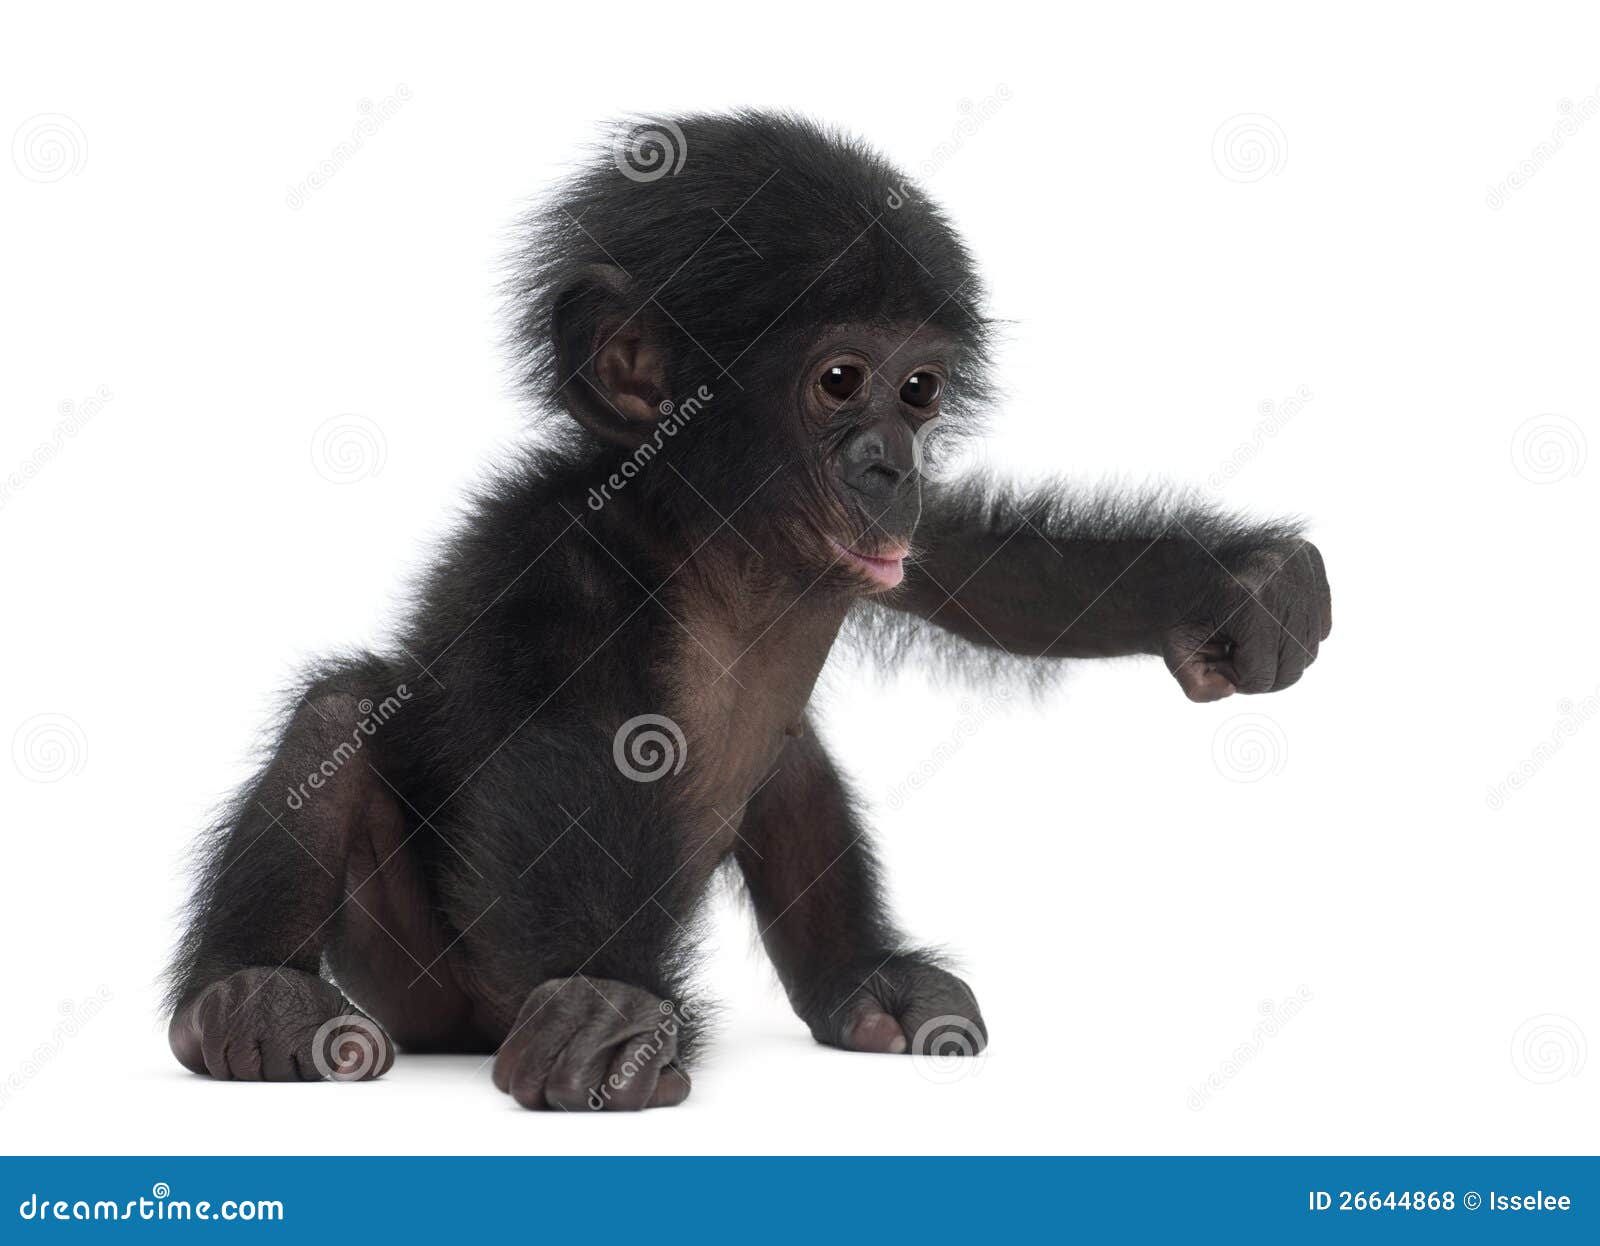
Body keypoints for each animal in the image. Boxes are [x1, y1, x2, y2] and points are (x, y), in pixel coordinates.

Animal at [165, 111, 1331, 1110]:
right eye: (840, 379)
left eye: (918, 390)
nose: (888, 462)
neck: (718, 541)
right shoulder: (559, 564)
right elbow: (566, 763)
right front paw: (607, 1010)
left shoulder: (897, 546)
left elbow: (993, 574)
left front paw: (1238, 587)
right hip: (424, 984)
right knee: (338, 714)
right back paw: (248, 1000)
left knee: (793, 759)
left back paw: (869, 987)